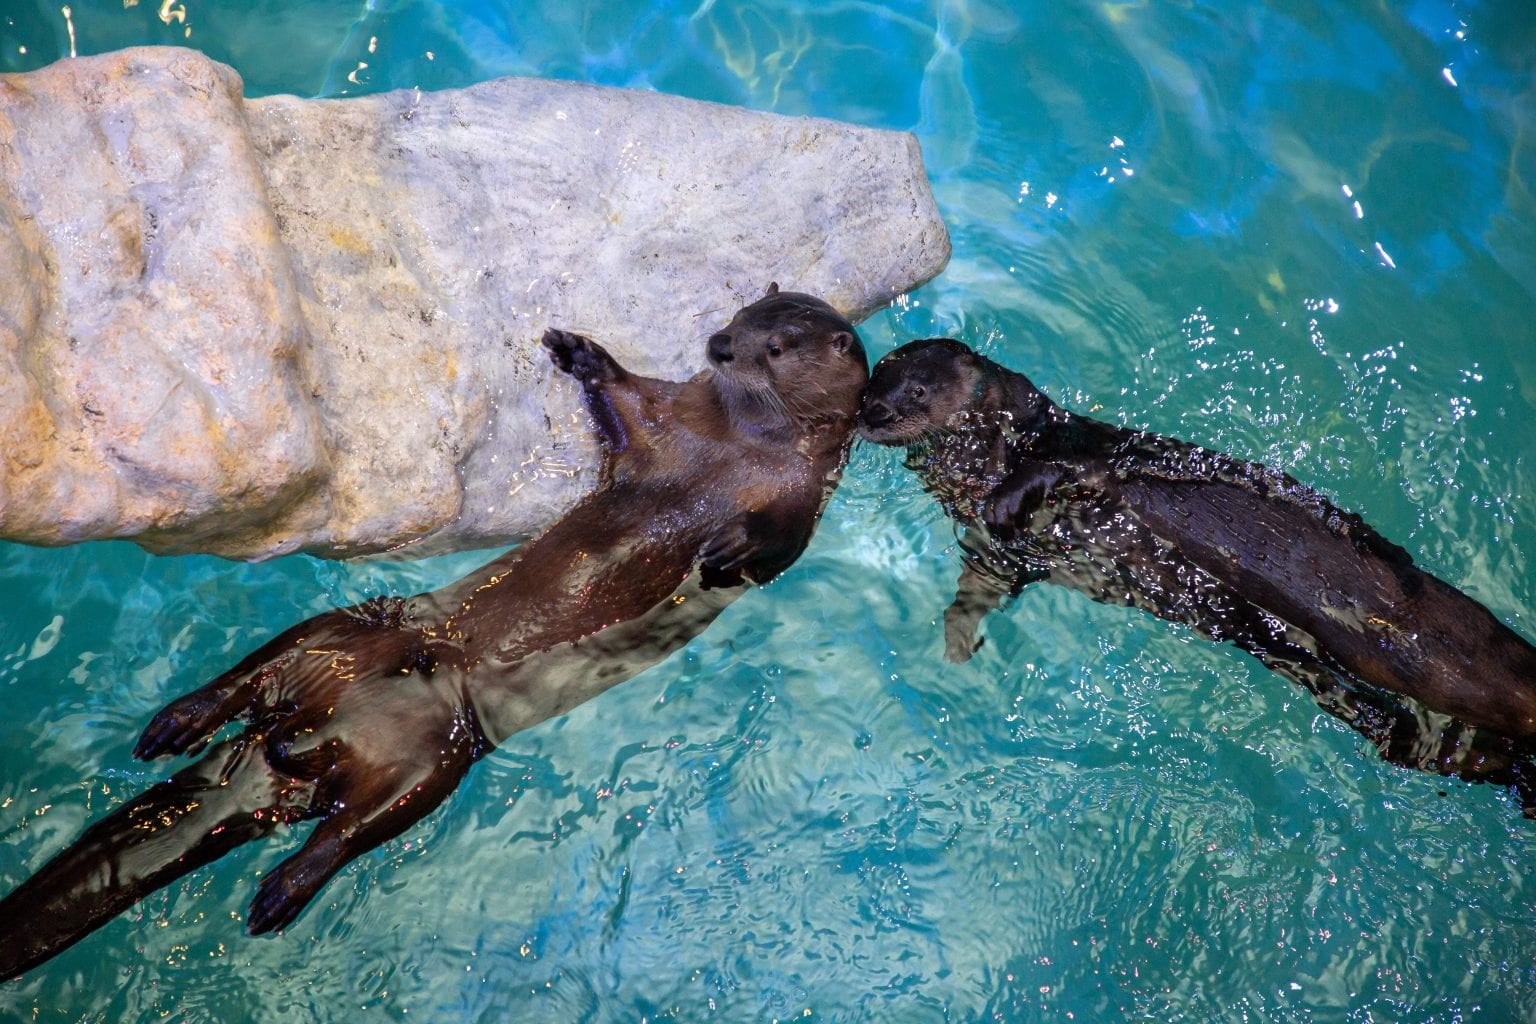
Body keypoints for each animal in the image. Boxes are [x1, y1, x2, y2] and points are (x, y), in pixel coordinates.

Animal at [0, 285, 868, 981]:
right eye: (738, 318)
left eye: (776, 347)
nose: (720, 346)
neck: (733, 451)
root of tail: (296, 745)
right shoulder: (665, 424)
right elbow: (625, 406)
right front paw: (581, 354)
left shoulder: (805, 496)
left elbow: (774, 551)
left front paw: (722, 548)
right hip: (346, 640)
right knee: (265, 680)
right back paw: (180, 719)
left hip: (437, 756)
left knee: (355, 825)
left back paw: (281, 887)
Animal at [859, 337, 1536, 808]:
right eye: (869, 387)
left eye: (917, 392)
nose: (874, 414)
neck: (986, 454)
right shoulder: (1000, 554)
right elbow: (982, 586)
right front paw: (956, 642)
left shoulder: (1082, 454)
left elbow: (1064, 469)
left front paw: (1008, 499)